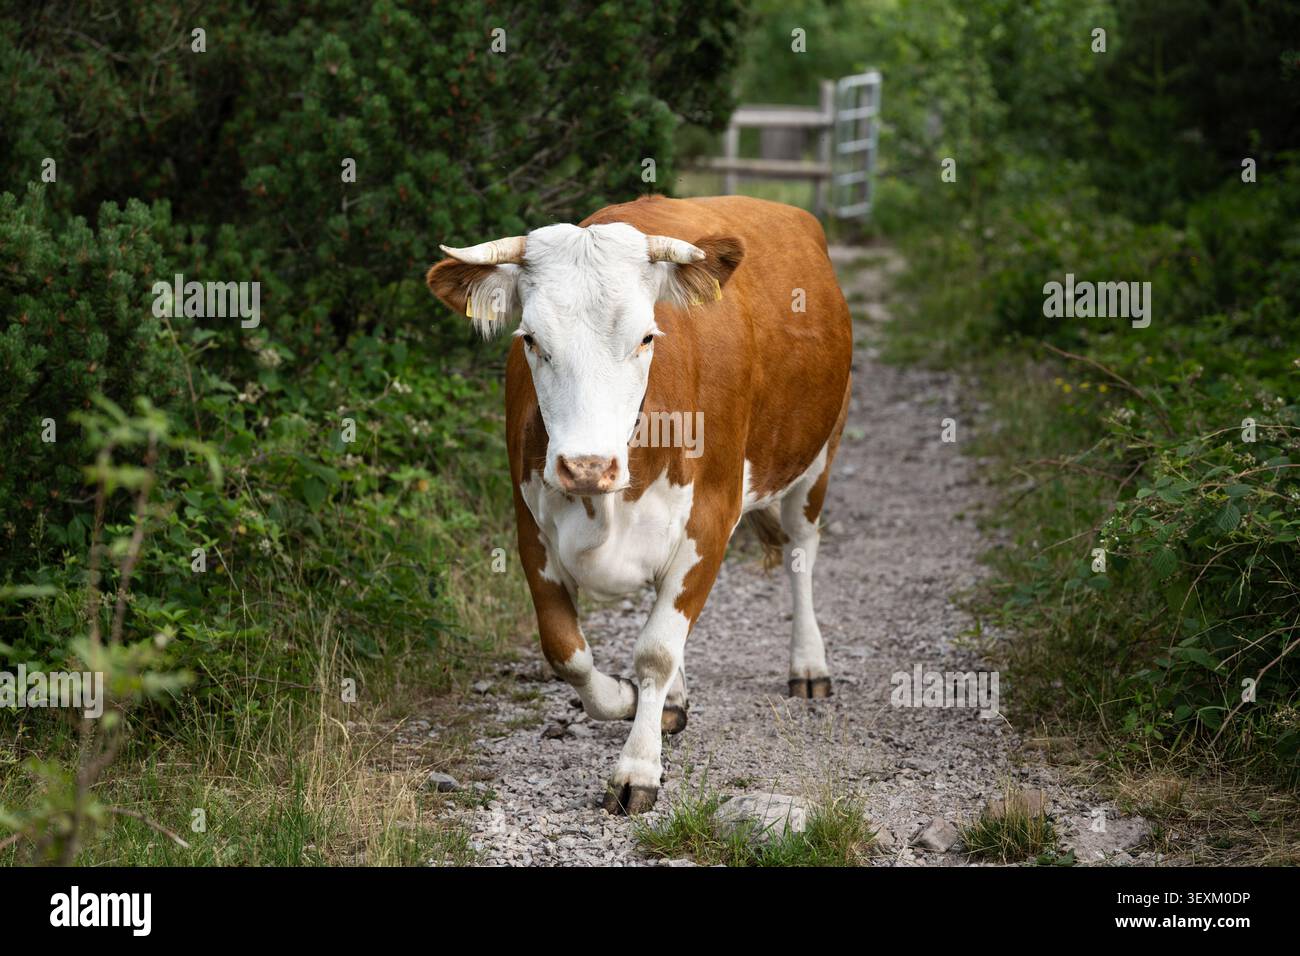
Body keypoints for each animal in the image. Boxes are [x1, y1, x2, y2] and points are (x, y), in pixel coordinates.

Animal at [427, 195, 853, 814]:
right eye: (530, 339)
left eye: (648, 337)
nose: (586, 466)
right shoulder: (530, 528)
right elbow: (567, 651)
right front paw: (629, 699)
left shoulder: (710, 521)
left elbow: (655, 650)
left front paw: (637, 768)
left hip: (817, 456)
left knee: (801, 551)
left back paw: (808, 663)